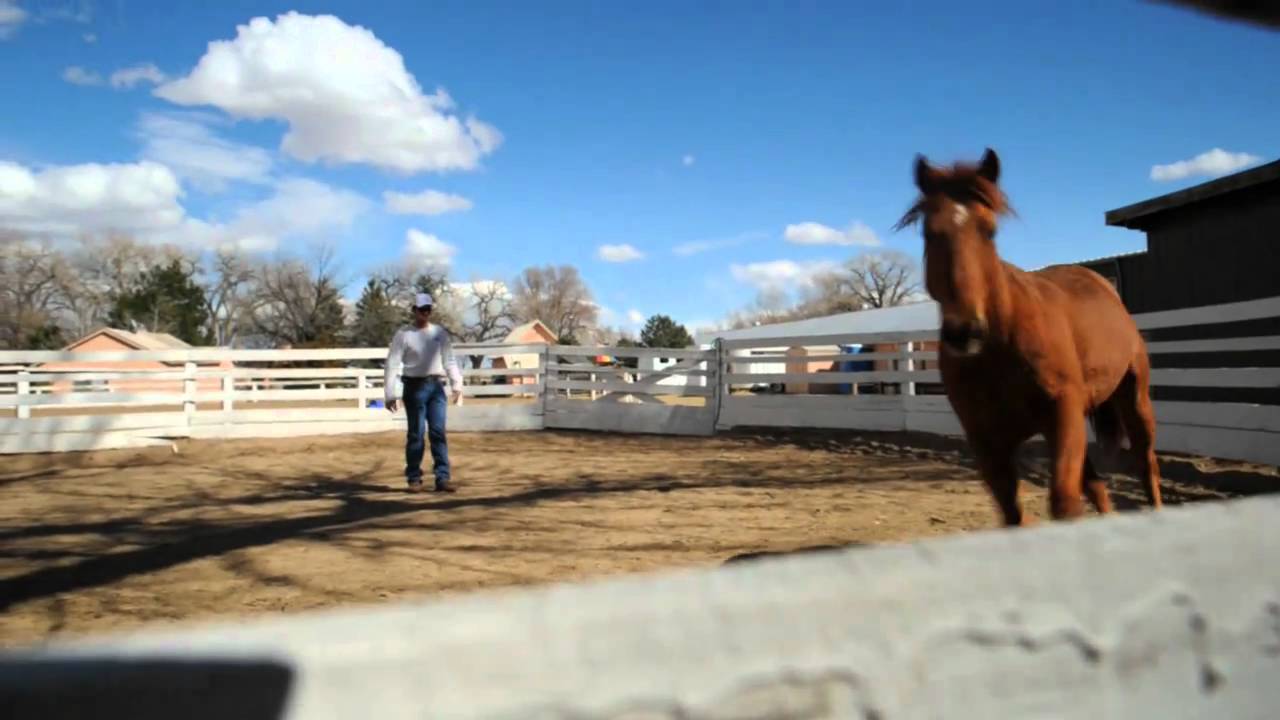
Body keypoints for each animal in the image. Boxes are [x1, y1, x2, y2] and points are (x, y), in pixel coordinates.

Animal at [893, 148, 1163, 526]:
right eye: (929, 234)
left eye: (989, 231)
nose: (965, 331)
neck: (1000, 349)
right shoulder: (987, 440)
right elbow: (1014, 515)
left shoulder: (1062, 416)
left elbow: (1064, 503)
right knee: (1097, 485)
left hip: (1133, 400)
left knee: (1146, 466)